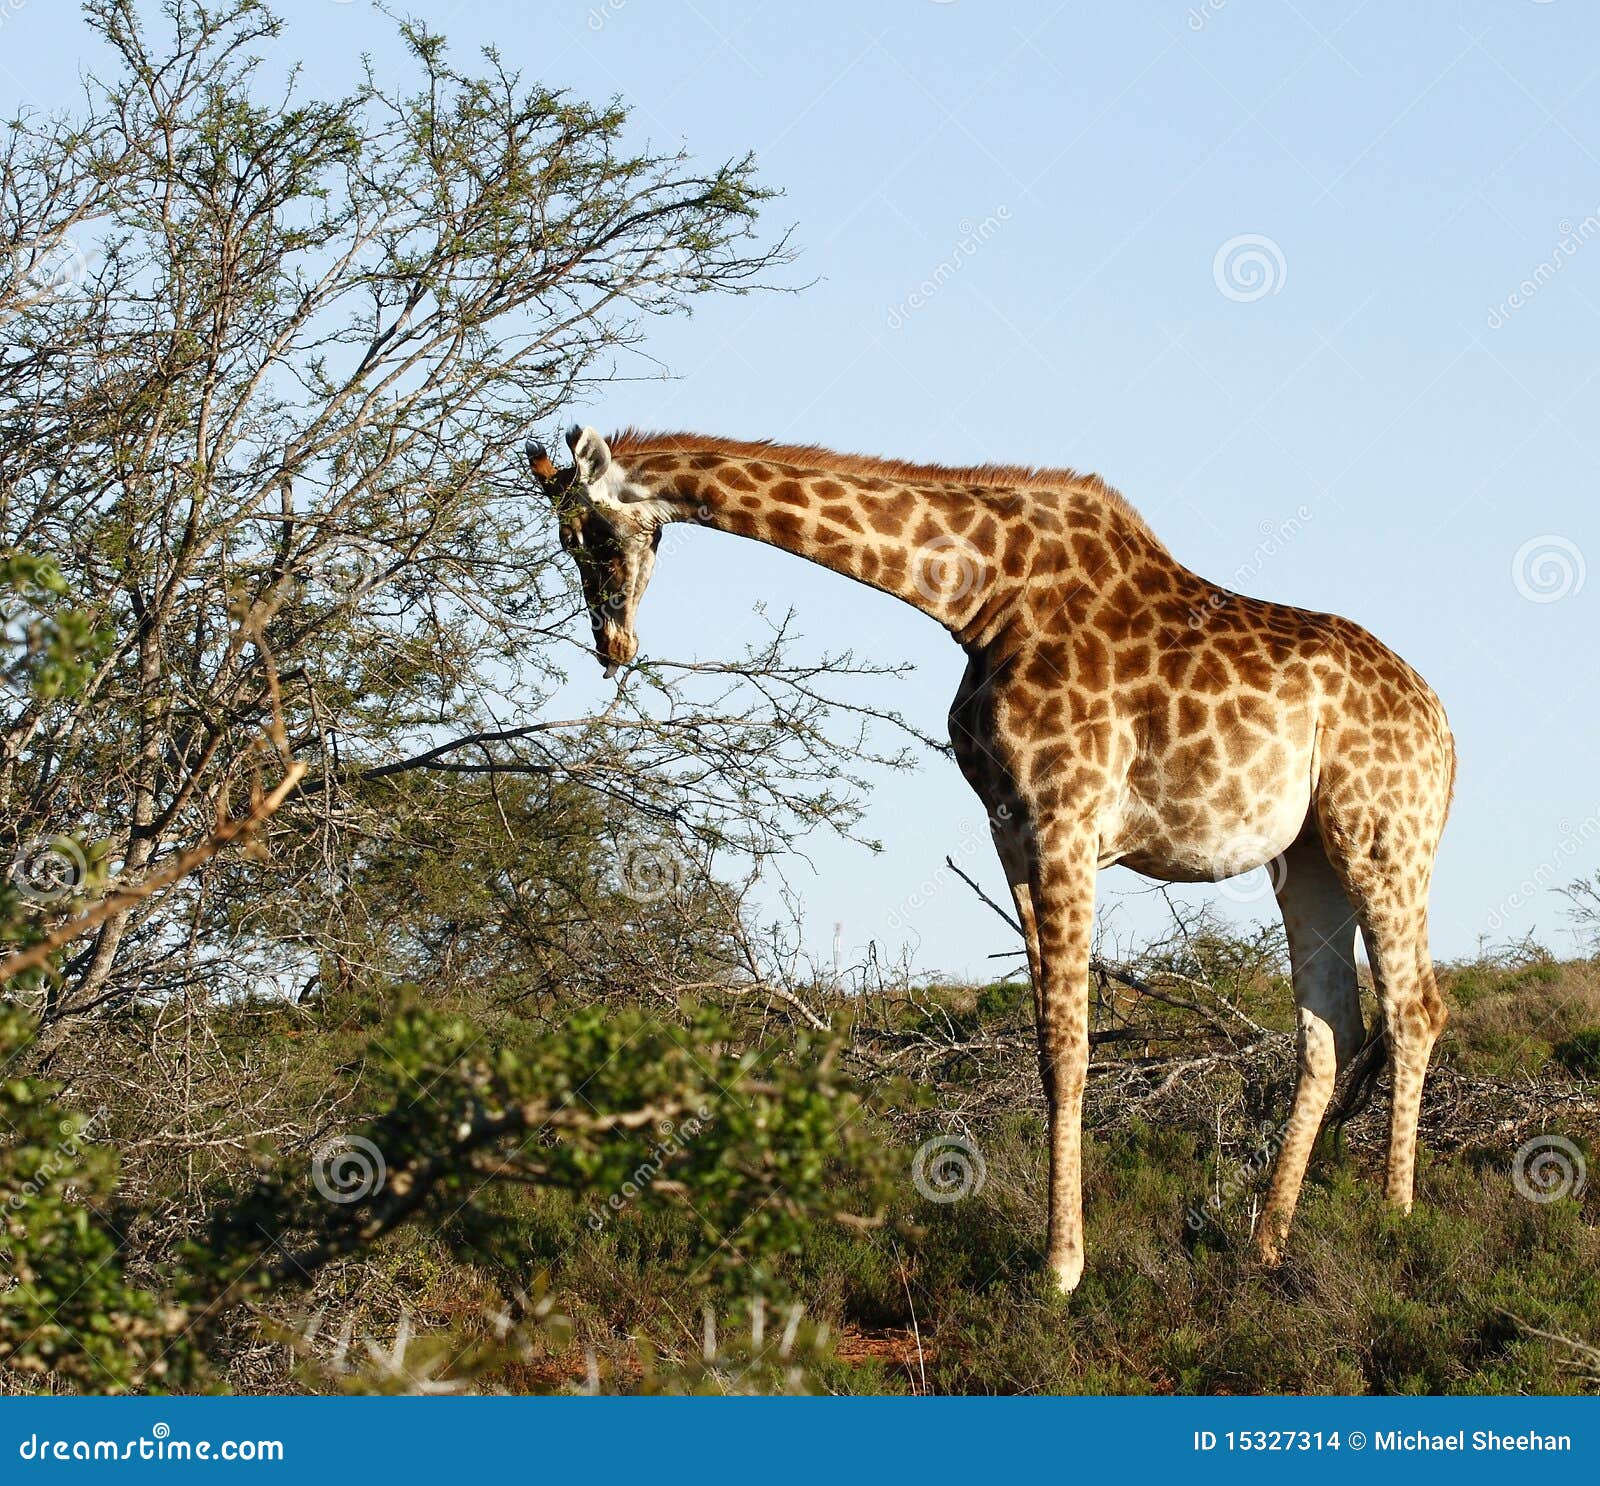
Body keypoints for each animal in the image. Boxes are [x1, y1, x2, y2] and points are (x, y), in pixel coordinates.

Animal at [526, 423, 1456, 1293]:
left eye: (595, 534)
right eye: (566, 542)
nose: (613, 644)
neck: (981, 595)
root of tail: (1443, 727)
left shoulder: (1066, 817)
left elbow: (1074, 1044)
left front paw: (1062, 1270)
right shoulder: (1011, 828)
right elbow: (1045, 1045)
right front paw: (1058, 1256)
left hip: (1384, 836)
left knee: (1416, 1008)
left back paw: (1395, 1221)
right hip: (1307, 854)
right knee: (1331, 1026)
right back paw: (1266, 1248)